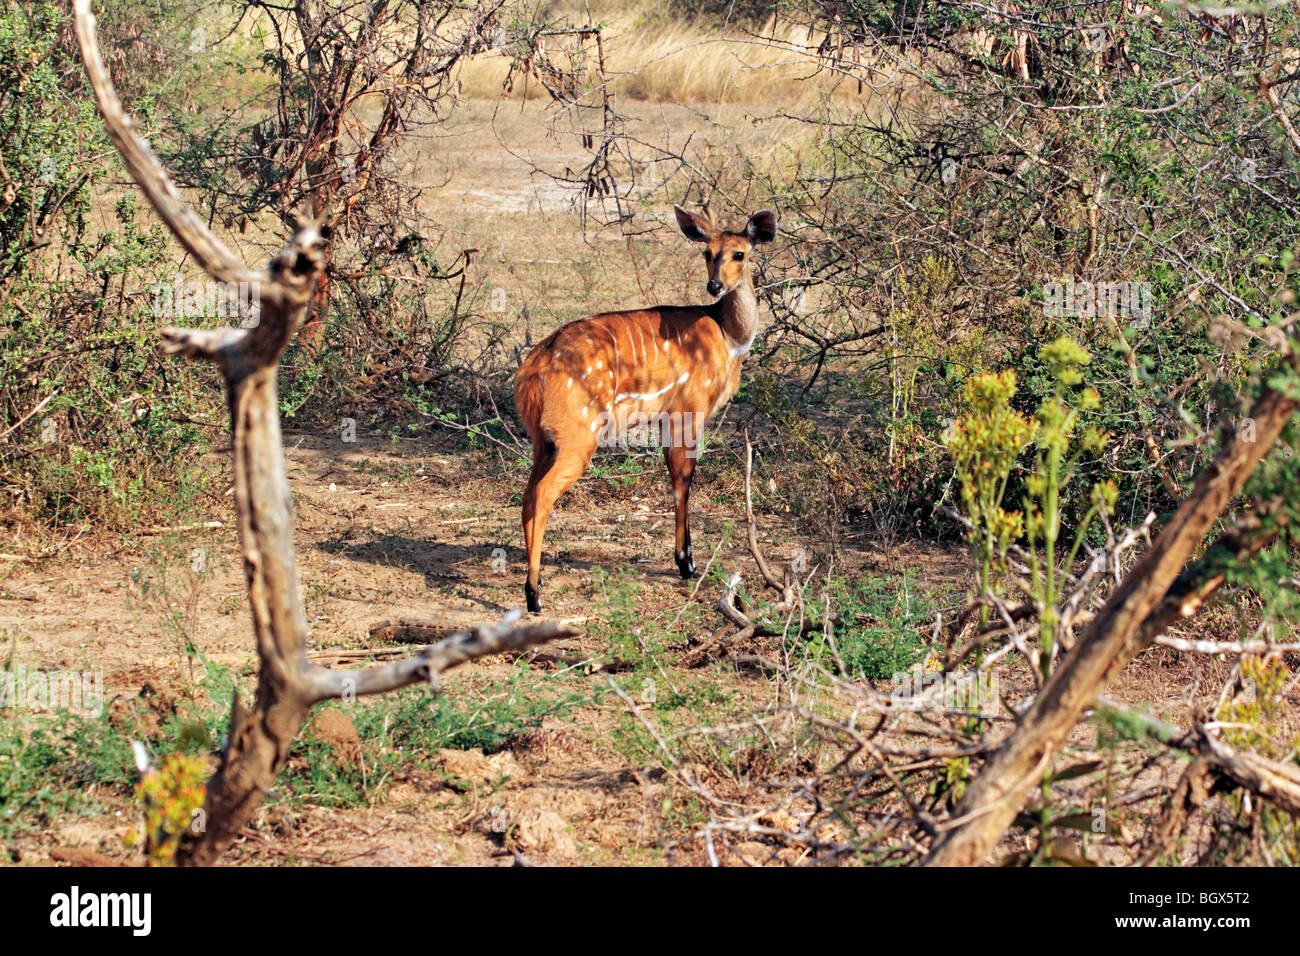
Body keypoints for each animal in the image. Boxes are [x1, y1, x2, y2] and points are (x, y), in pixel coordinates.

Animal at [514, 205, 778, 613]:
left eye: (739, 253)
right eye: (708, 252)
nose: (715, 286)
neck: (727, 336)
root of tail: (534, 369)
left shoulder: (666, 418)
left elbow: (675, 477)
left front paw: (684, 559)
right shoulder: (688, 410)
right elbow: (683, 480)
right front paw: (686, 563)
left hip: (542, 441)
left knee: (527, 494)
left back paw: (536, 584)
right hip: (577, 439)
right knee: (542, 495)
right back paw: (533, 595)